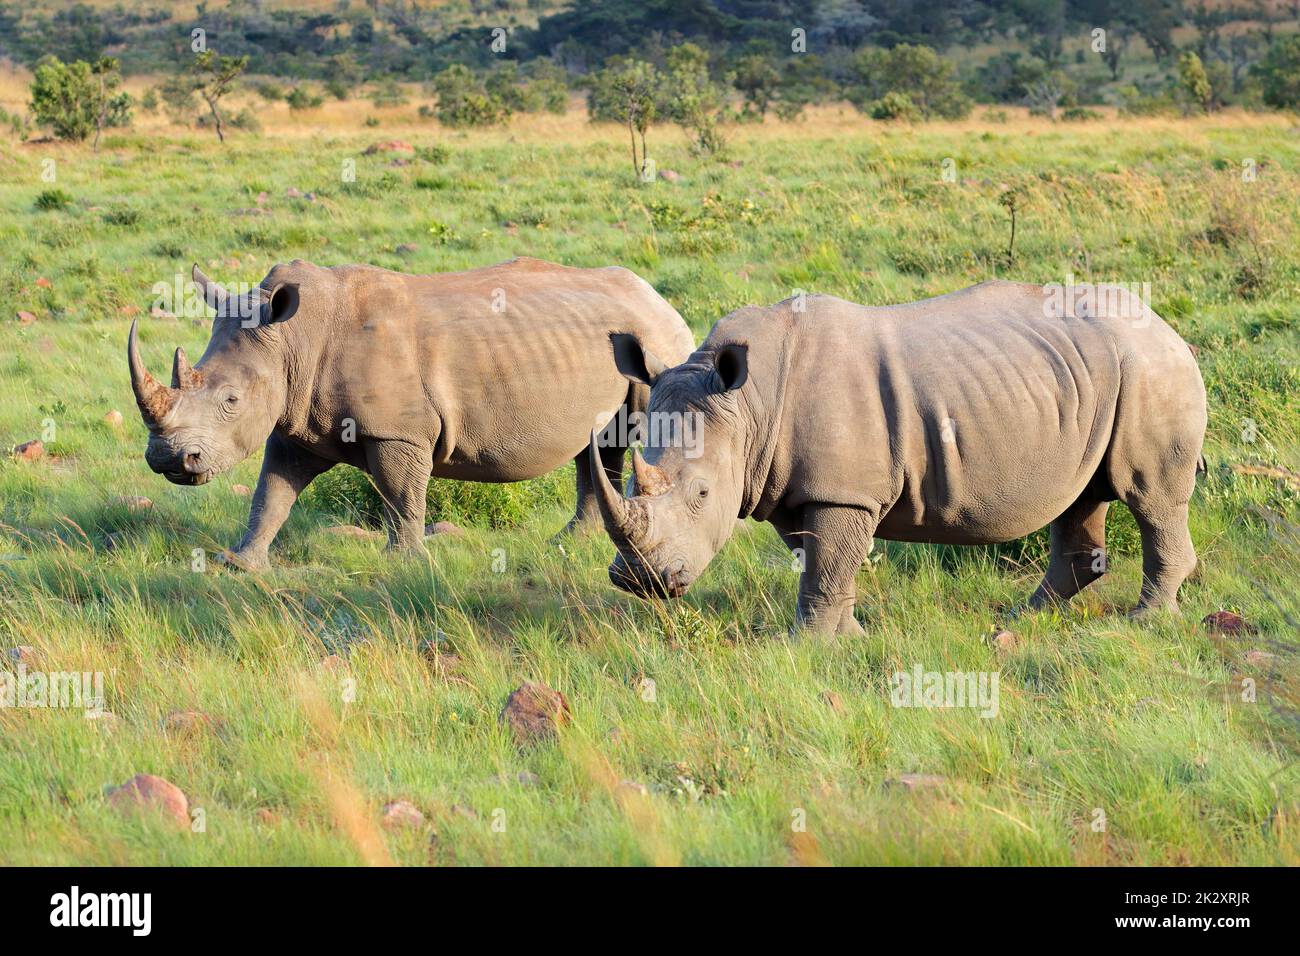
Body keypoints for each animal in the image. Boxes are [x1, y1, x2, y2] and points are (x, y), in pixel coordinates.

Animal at [128, 257, 695, 569]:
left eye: (231, 402)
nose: (169, 461)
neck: (292, 339)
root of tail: (659, 298)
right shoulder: (295, 423)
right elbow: (272, 493)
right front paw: (241, 565)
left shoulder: (398, 431)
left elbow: (401, 494)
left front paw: (404, 563)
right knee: (599, 445)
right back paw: (569, 543)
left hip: (656, 341)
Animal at [590, 281, 1207, 635]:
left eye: (701, 494)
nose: (638, 582)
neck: (747, 406)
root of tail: (1168, 327)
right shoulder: (800, 486)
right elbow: (825, 562)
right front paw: (847, 638)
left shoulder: (844, 491)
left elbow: (826, 565)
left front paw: (807, 647)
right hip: (1092, 380)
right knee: (1082, 495)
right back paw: (1027, 618)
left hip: (1150, 368)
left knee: (1149, 496)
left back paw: (1145, 621)